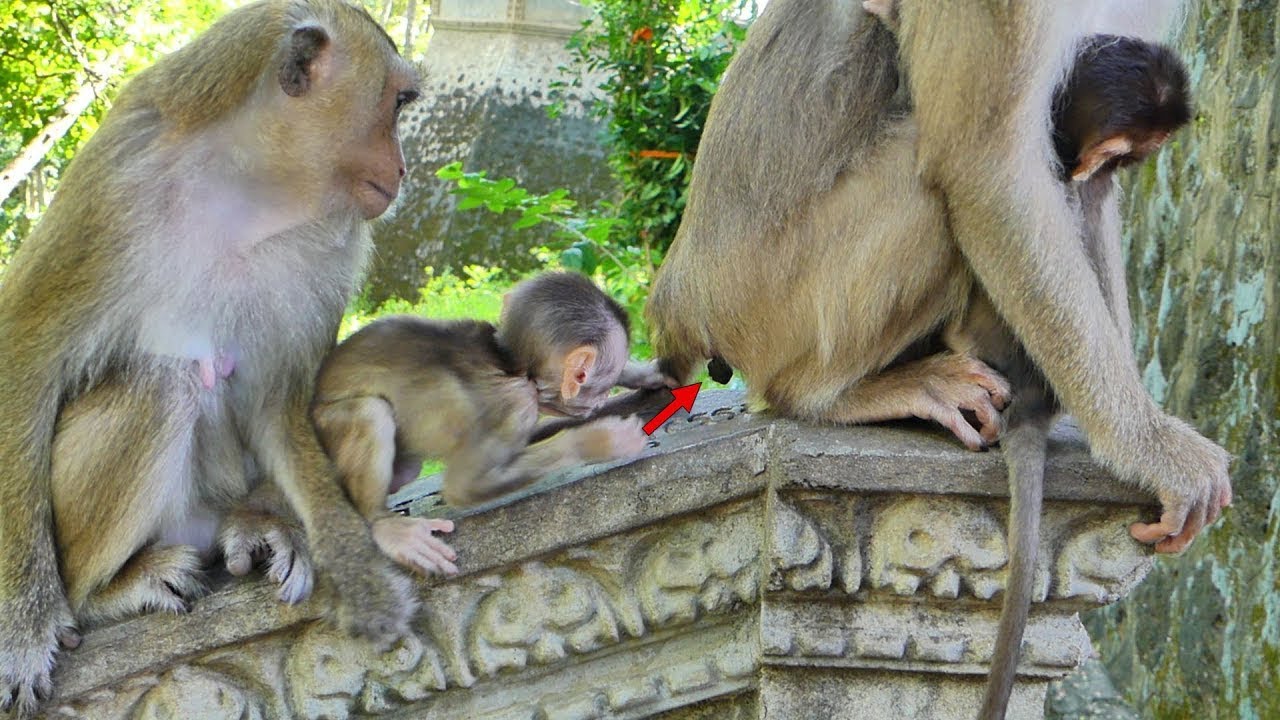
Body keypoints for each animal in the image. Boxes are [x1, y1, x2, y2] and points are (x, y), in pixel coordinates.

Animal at [0, 1, 426, 713]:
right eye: (395, 104)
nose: (401, 168)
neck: (243, 188)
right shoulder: (111, 186)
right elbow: (25, 360)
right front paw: (21, 629)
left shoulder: (335, 247)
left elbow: (283, 403)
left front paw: (354, 568)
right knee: (160, 381)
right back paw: (105, 594)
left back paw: (258, 523)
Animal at [311, 272, 664, 576]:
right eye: (601, 389)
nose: (602, 400)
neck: (518, 369)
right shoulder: (516, 408)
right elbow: (463, 486)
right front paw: (598, 441)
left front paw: (644, 374)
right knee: (371, 411)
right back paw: (382, 523)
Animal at [644, 2, 1230, 718]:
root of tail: (683, 291)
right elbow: (988, 170)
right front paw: (1148, 445)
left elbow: (1084, 179)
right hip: (780, 298)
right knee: (936, 152)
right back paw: (826, 393)